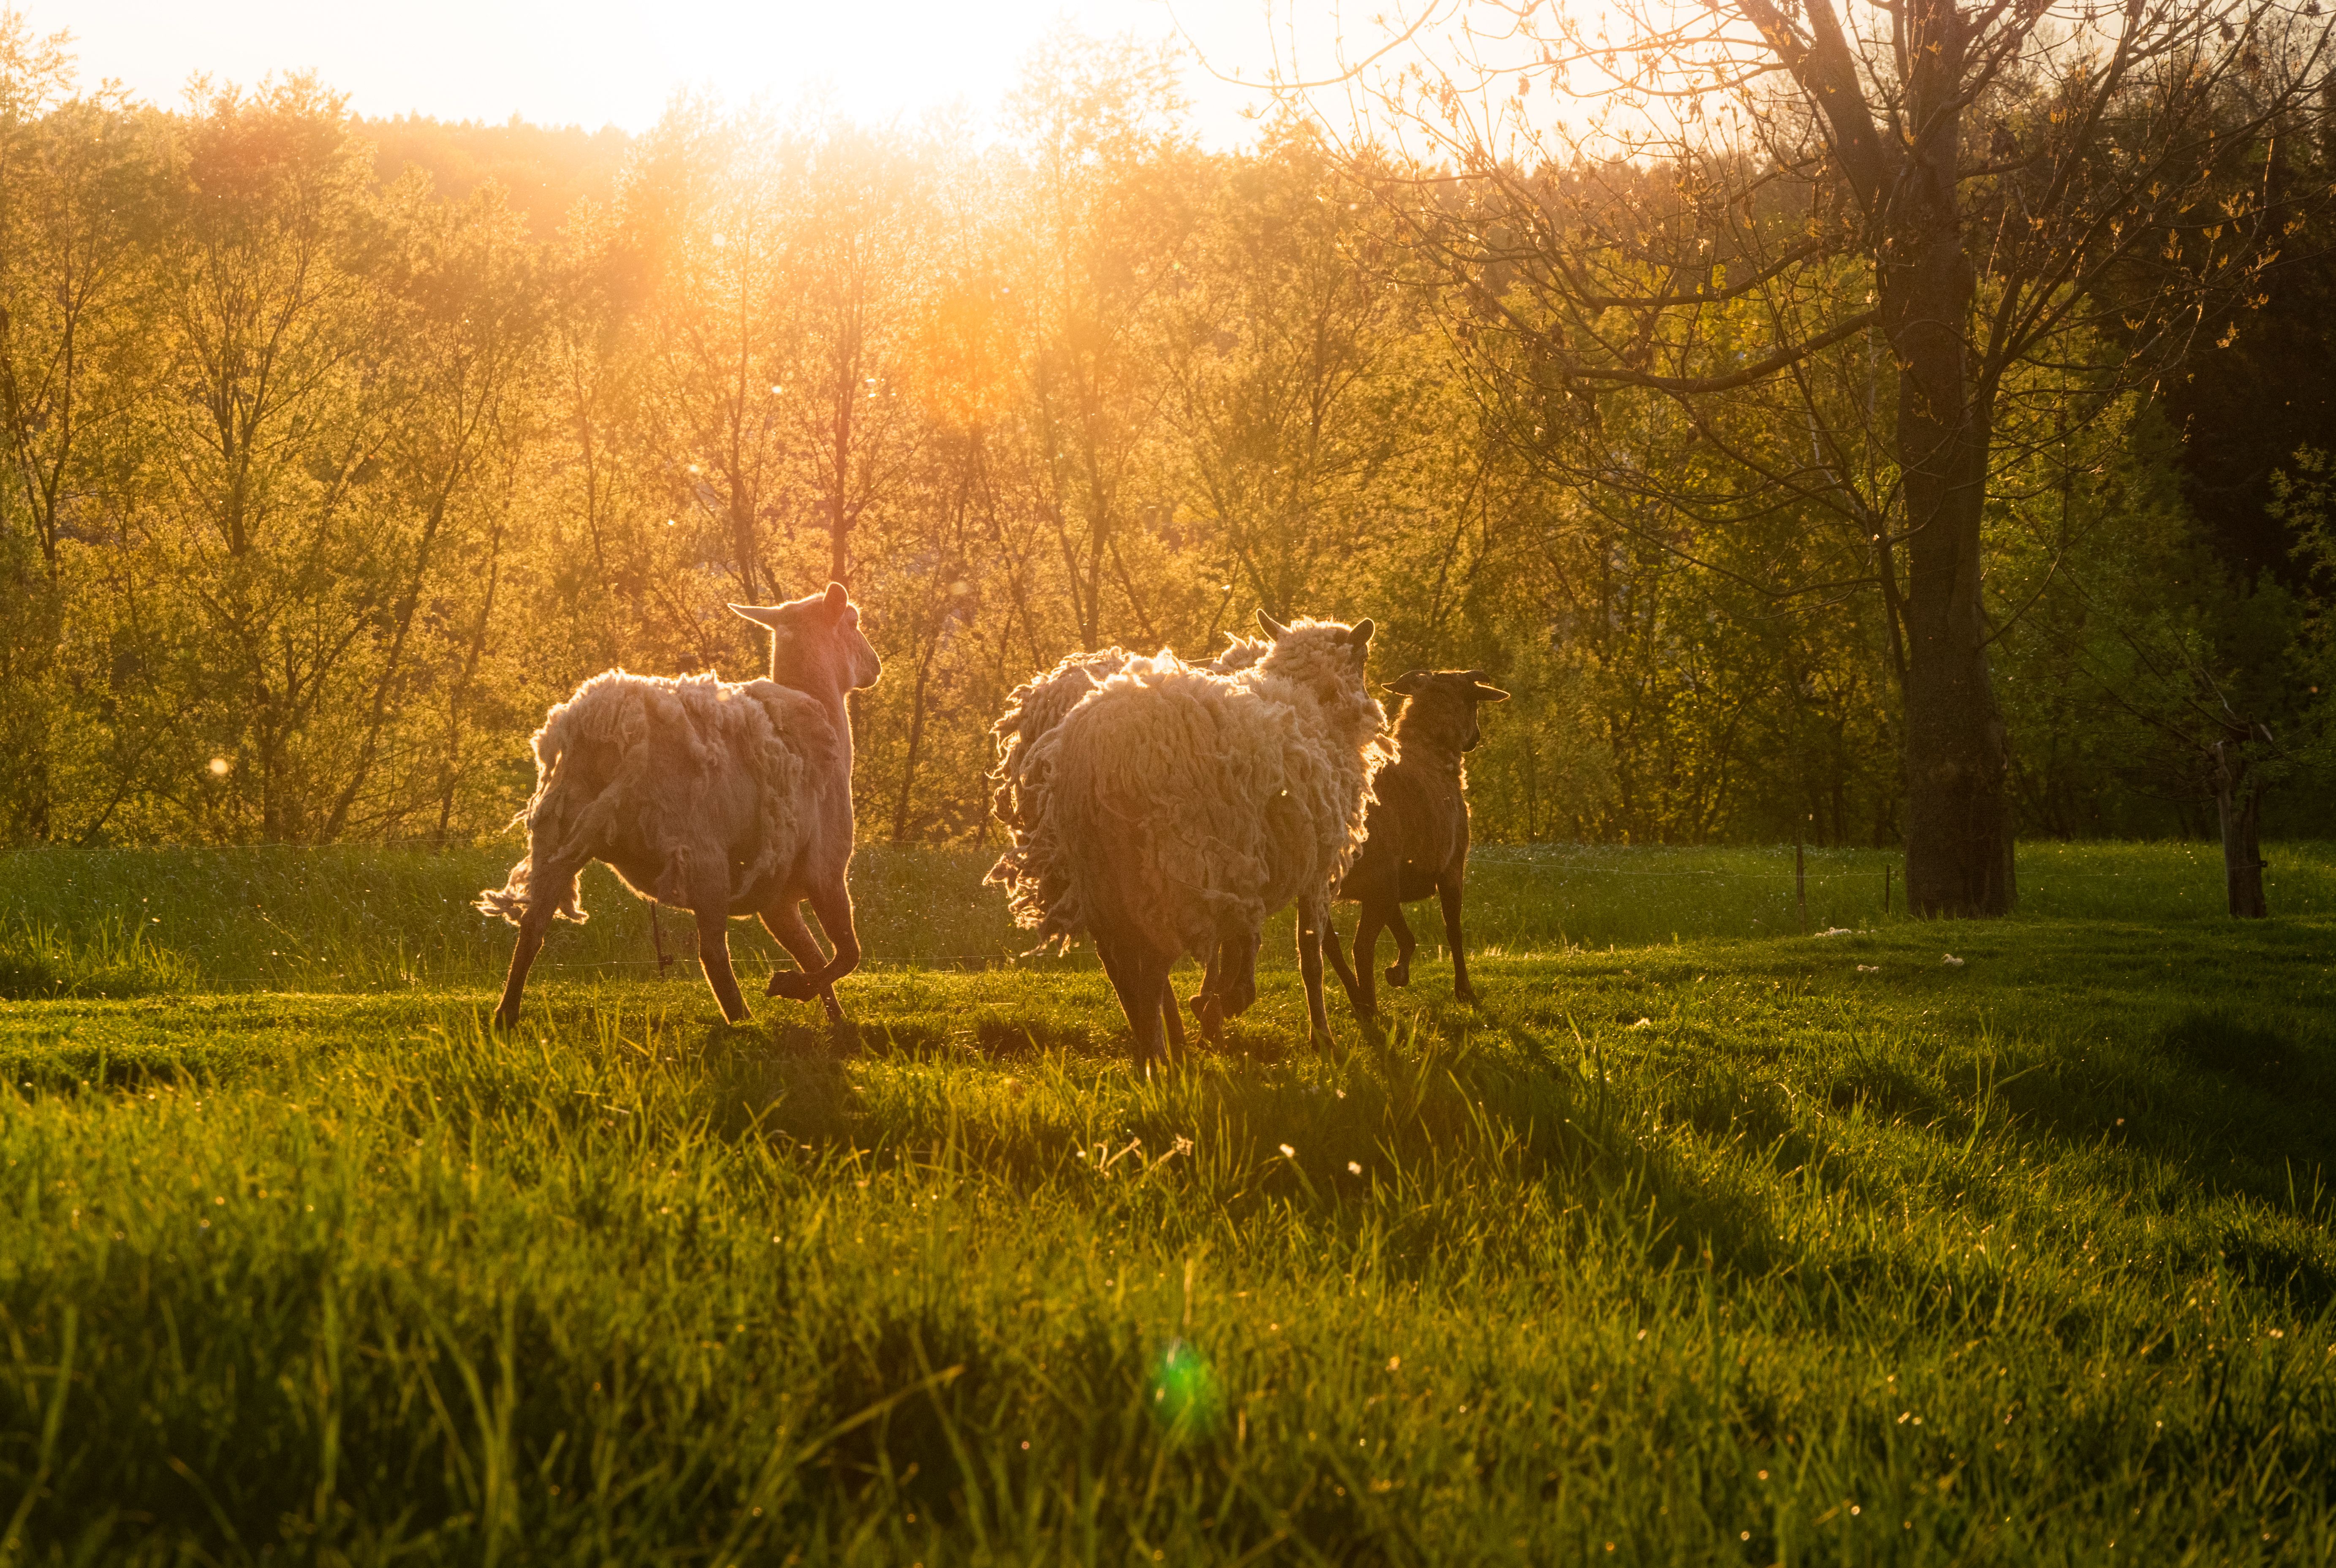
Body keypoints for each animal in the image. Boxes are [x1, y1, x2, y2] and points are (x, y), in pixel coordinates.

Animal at [478, 582, 881, 1028]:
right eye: (853, 622)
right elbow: (847, 955)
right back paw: (743, 1020)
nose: (875, 667)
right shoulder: (826, 869)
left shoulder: (777, 899)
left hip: (558, 833)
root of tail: (614, 717)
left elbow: (814, 956)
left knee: (532, 927)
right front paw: (793, 988)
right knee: (713, 953)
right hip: (700, 854)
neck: (818, 704)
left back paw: (506, 1014)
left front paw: (837, 1020)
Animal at [1006, 612, 1386, 1061]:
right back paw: (1162, 1054)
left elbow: (1243, 937)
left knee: (1119, 963)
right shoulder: (1312, 863)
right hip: (1166, 867)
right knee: (1150, 968)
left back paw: (1156, 1043)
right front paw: (1320, 1036)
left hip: (1101, 877)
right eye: (1363, 660)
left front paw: (1219, 1004)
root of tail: (1093, 749)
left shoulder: (1241, 864)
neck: (1310, 700)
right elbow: (1310, 955)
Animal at [1322, 669, 1508, 1017]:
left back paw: (1359, 1000)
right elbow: (1454, 931)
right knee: (1361, 947)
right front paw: (1465, 991)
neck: (1431, 751)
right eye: (1475, 703)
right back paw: (1371, 1008)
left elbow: (1406, 936)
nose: (1476, 738)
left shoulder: (1392, 886)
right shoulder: (1451, 869)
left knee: (1329, 942)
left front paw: (1398, 973)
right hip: (1376, 877)